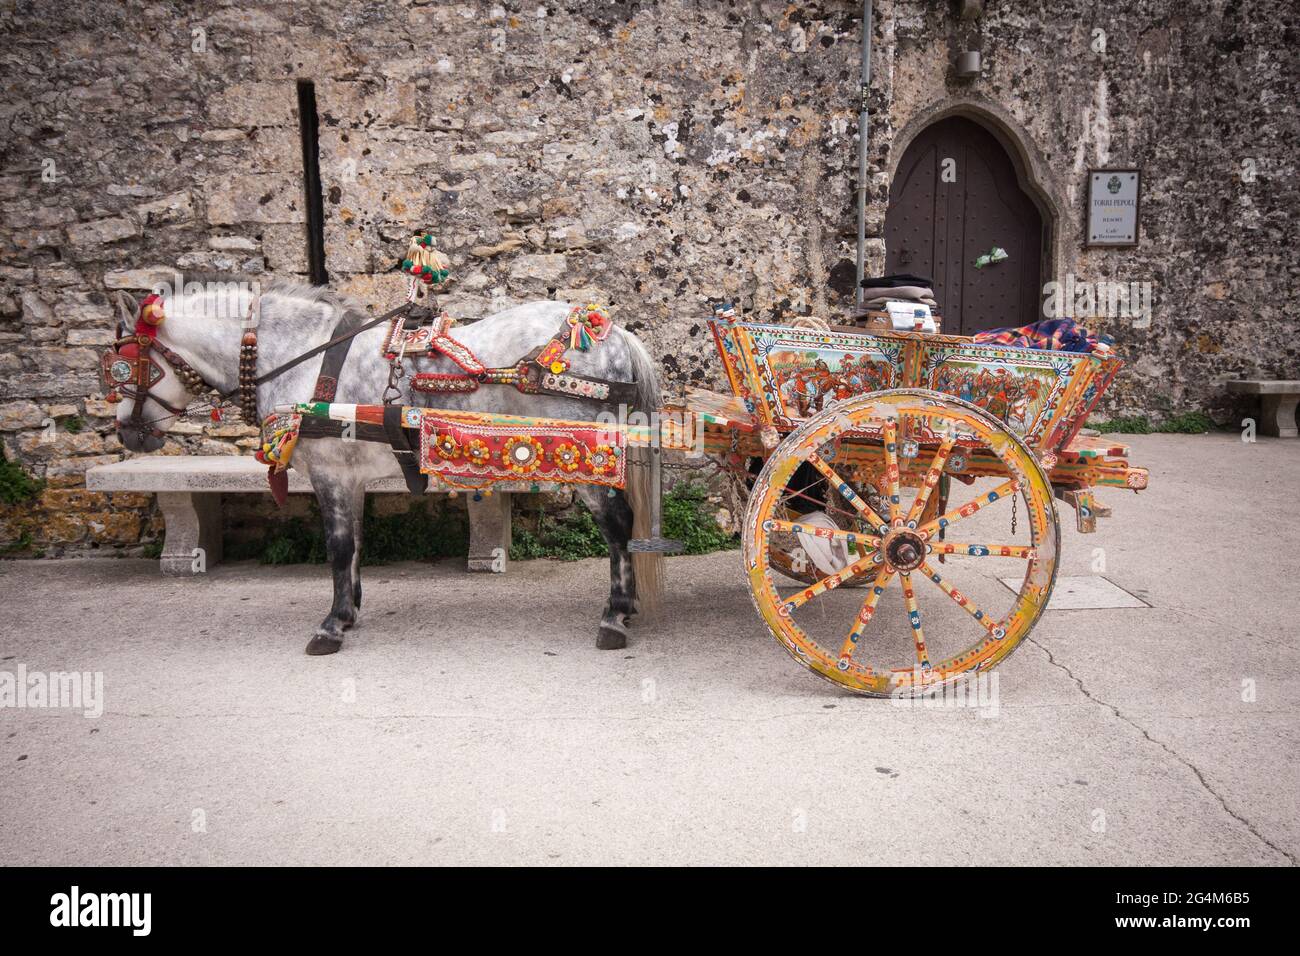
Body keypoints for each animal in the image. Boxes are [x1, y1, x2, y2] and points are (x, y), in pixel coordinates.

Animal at [111, 278, 660, 658]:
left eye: (126, 366)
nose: (125, 432)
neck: (304, 359)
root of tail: (610, 333)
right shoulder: (348, 476)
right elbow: (353, 544)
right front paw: (349, 610)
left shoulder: (329, 473)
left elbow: (336, 546)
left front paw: (330, 626)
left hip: (586, 457)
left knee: (617, 524)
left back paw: (614, 616)